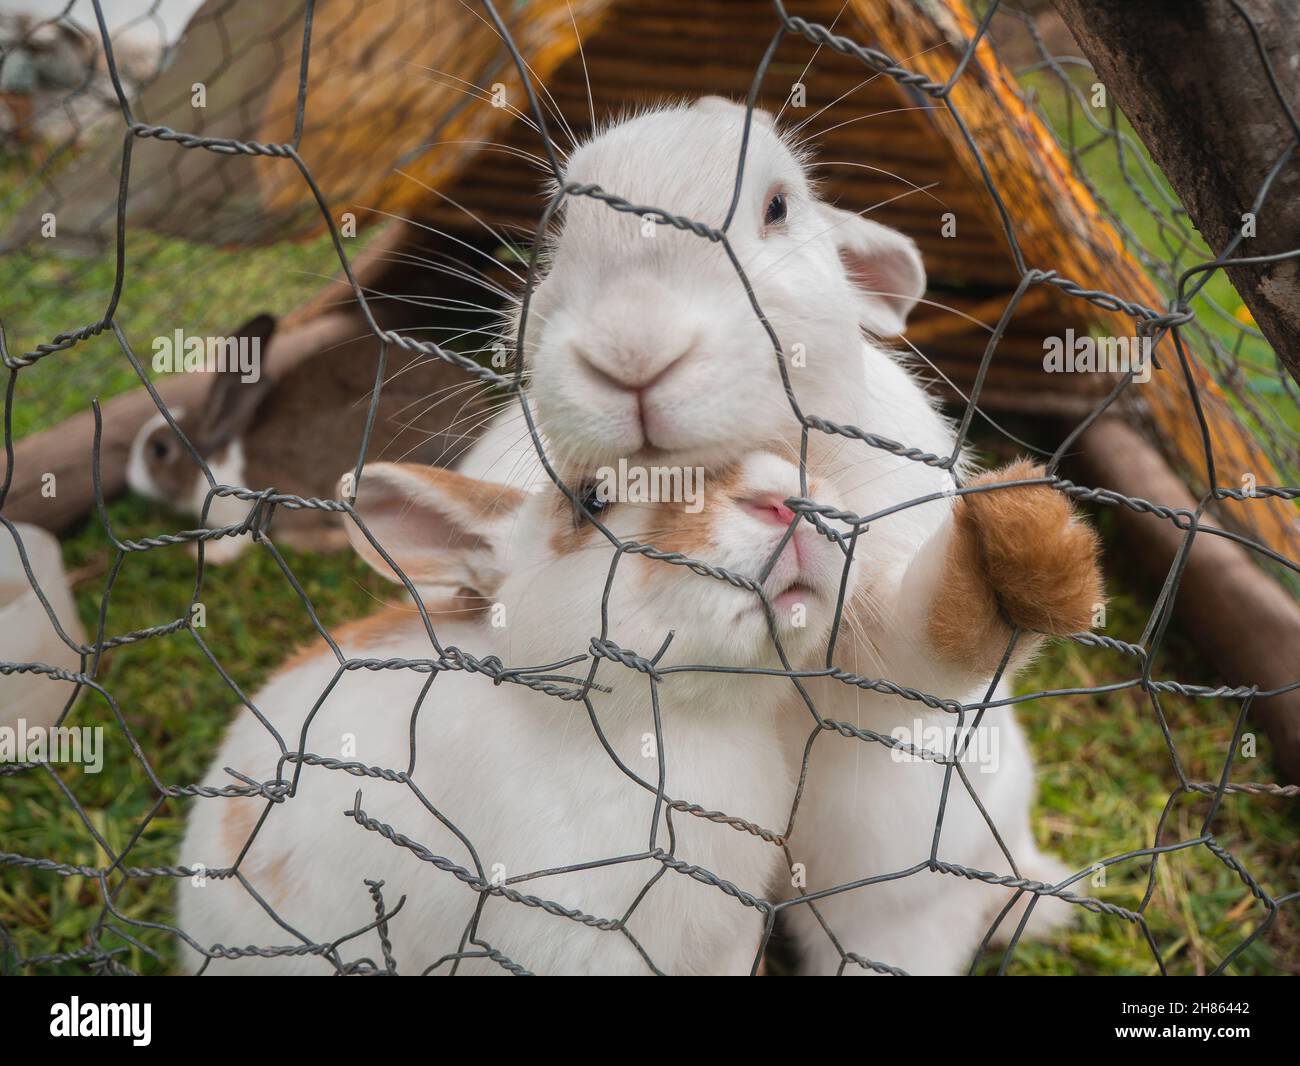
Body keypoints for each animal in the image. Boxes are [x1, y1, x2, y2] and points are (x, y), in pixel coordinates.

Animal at [456, 97, 1105, 974]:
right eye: (558, 217)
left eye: (776, 208)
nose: (631, 348)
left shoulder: (885, 625)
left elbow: (934, 637)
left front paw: (1021, 531)